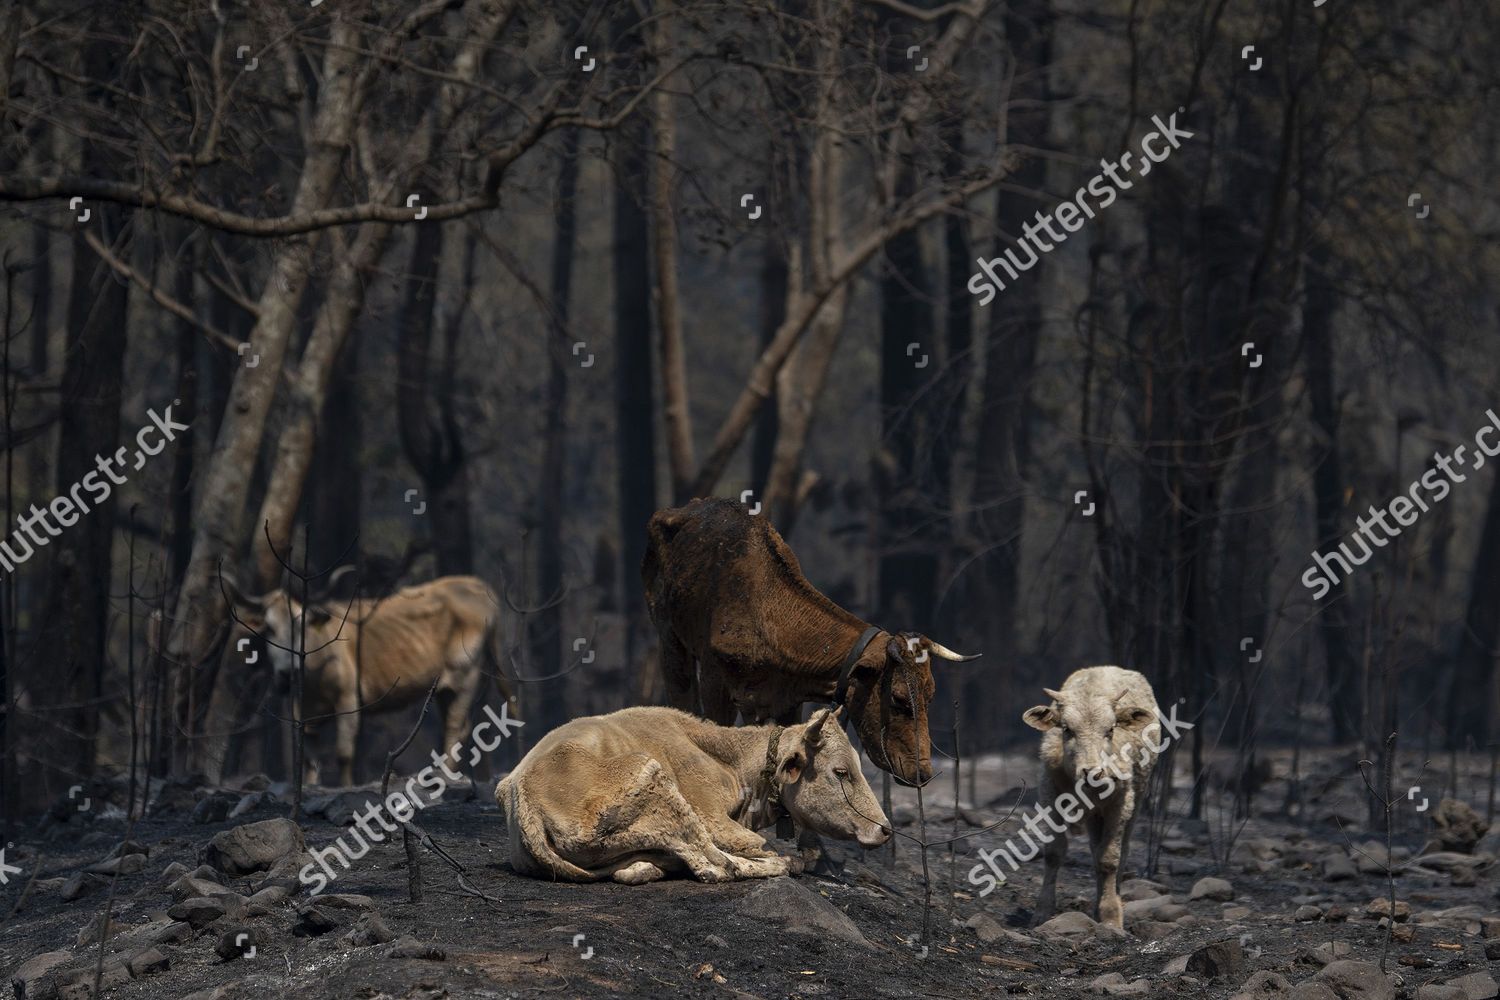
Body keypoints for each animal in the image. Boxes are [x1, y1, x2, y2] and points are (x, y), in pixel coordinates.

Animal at [229, 571, 515, 788]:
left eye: (300, 626)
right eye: (269, 628)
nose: (287, 673)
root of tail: (474, 584)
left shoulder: (348, 698)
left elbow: (344, 752)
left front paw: (345, 787)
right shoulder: (301, 709)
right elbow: (308, 756)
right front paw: (309, 786)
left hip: (465, 674)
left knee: (455, 727)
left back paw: (445, 776)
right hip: (445, 688)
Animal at [497, 704, 890, 883]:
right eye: (841, 771)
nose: (884, 829)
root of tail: (523, 792)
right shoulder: (711, 816)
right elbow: (751, 845)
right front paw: (797, 856)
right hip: (660, 788)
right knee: (714, 865)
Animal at [642, 497, 978, 789]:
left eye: (930, 696)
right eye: (897, 698)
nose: (922, 773)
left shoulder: (787, 702)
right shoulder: (715, 684)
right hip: (670, 641)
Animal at [1021, 666, 1163, 929]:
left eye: (1111, 729)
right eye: (1067, 729)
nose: (1093, 772)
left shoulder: (1121, 803)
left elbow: (1109, 859)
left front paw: (1111, 916)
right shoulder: (1049, 793)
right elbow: (1054, 853)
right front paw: (1042, 911)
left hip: (1137, 799)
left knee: (1120, 852)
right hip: (1095, 815)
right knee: (1095, 848)